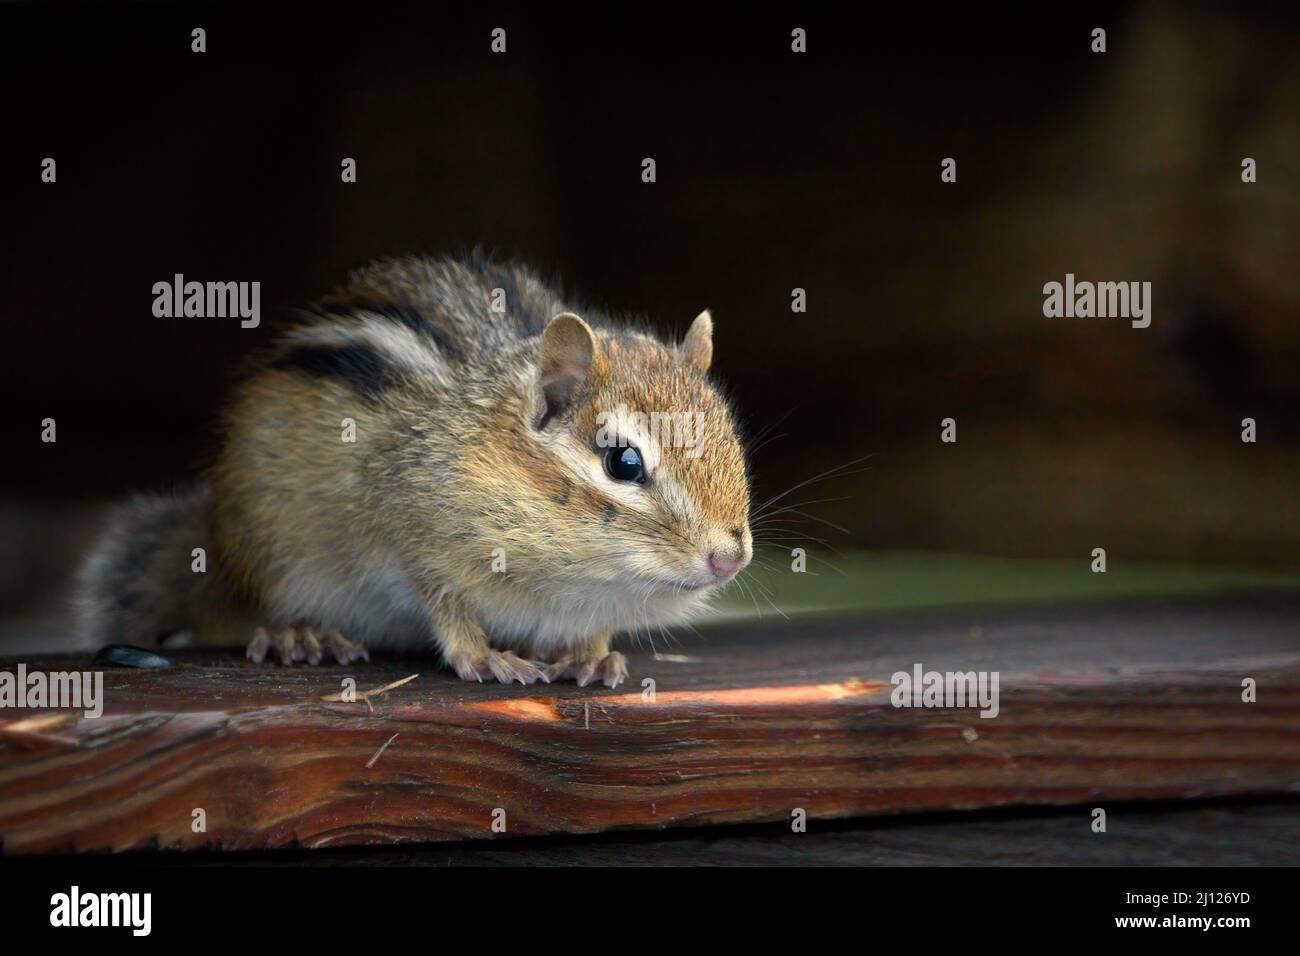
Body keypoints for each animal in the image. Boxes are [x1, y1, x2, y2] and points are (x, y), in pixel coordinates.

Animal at [75, 252, 753, 687]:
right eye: (623, 461)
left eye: (730, 437)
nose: (730, 558)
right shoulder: (411, 530)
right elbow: (442, 600)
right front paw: (483, 656)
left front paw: (593, 655)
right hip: (270, 547)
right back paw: (304, 635)